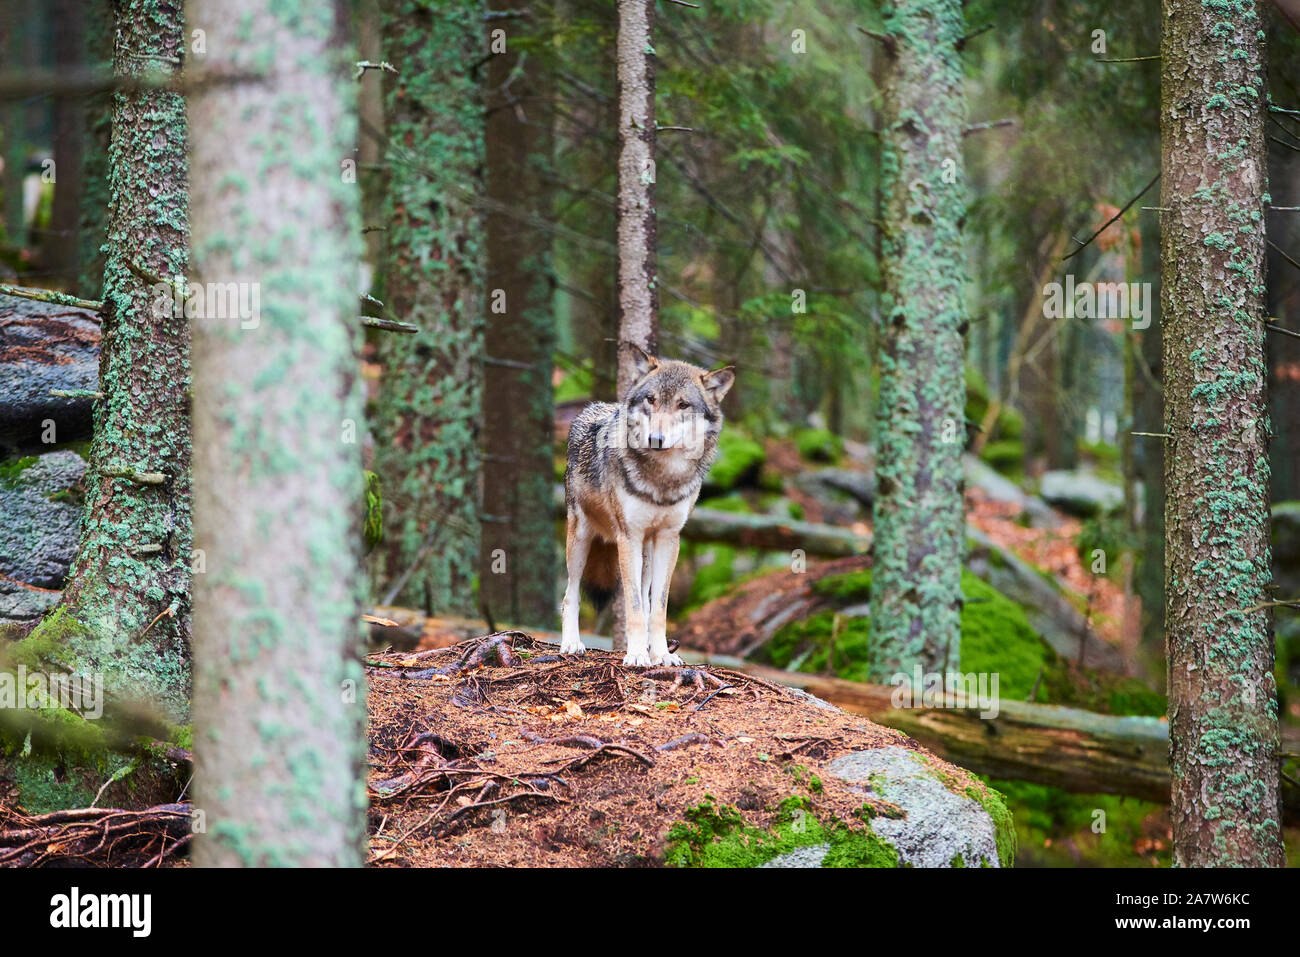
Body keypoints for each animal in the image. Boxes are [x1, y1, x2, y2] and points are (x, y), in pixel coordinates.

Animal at [559, 344, 735, 667]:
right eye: (651, 399)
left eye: (682, 405)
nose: (656, 439)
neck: (663, 479)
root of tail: (592, 407)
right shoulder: (628, 536)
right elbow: (634, 606)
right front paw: (638, 656)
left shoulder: (668, 538)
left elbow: (657, 608)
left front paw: (661, 655)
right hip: (581, 538)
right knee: (570, 595)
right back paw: (571, 643)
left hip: (646, 552)